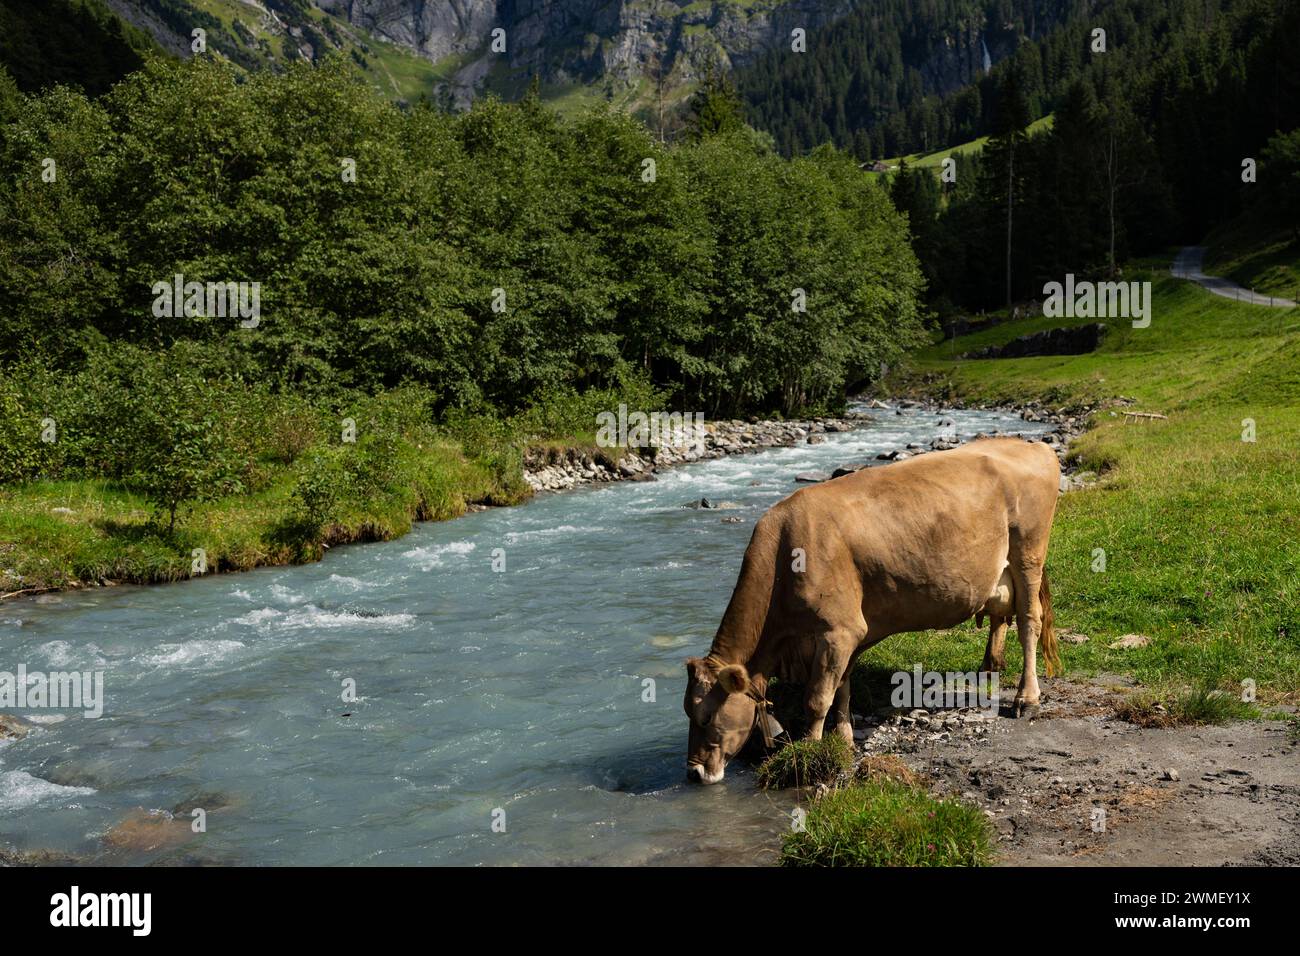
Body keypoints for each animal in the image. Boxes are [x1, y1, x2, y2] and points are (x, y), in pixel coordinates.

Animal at [684, 437, 1061, 784]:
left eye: (705, 718)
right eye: (686, 712)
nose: (694, 772)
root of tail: (1033, 444)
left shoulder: (838, 630)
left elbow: (817, 699)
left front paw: (808, 754)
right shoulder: (847, 634)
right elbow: (842, 686)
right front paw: (843, 739)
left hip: (1029, 553)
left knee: (1029, 621)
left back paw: (1027, 697)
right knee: (1001, 616)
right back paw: (989, 667)